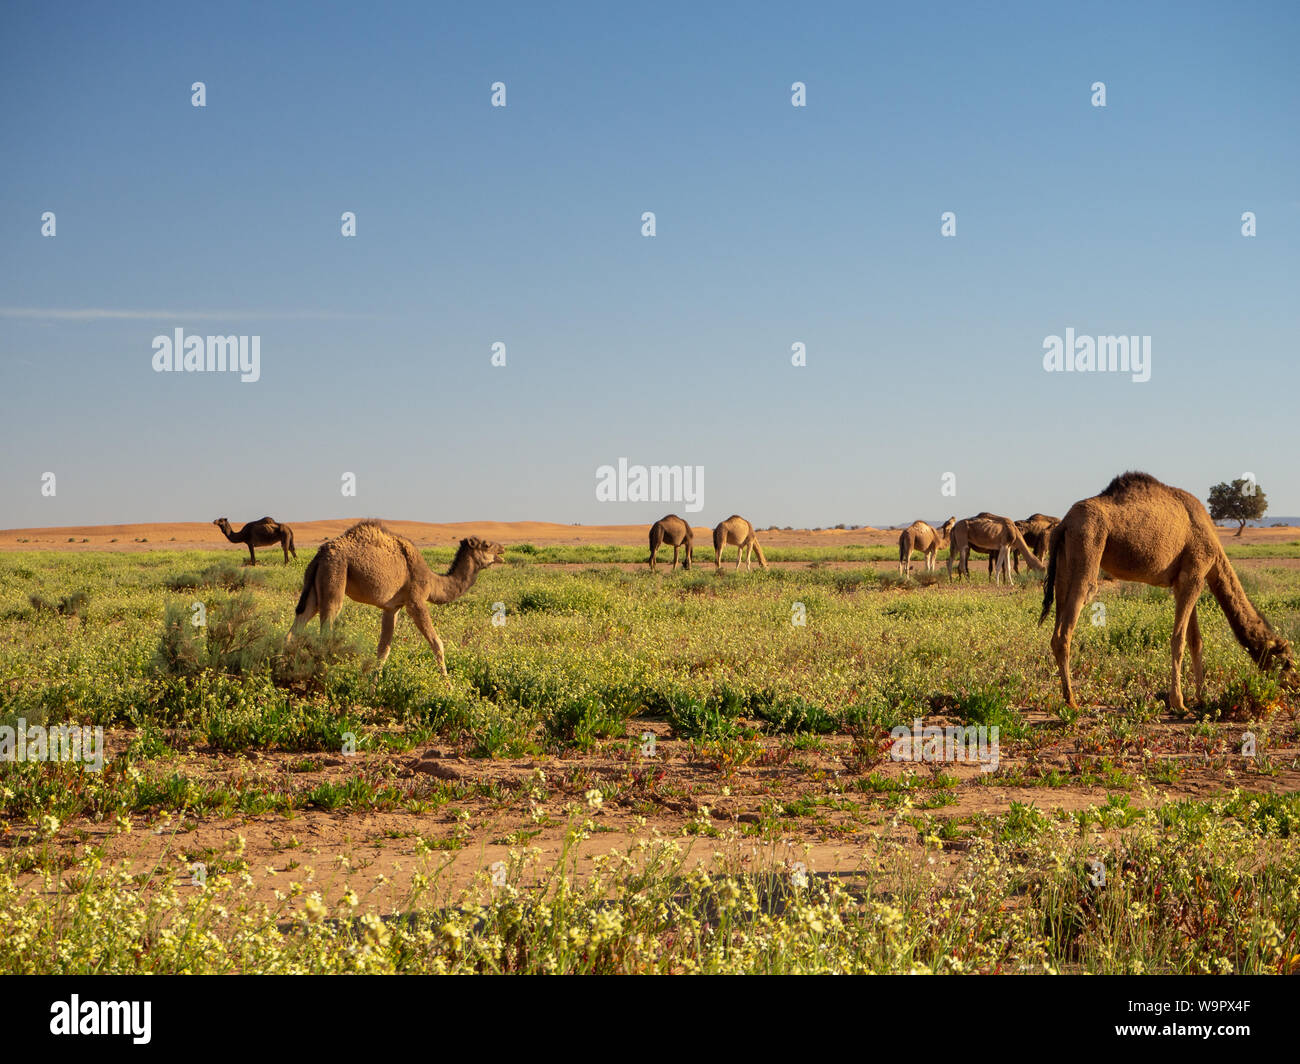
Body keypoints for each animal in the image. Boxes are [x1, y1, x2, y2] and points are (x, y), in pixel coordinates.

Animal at [288, 520, 504, 679]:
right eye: (486, 544)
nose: (502, 549)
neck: (432, 581)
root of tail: (319, 555)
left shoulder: (392, 607)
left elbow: (383, 649)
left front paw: (372, 687)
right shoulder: (416, 601)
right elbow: (437, 643)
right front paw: (448, 687)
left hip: (315, 586)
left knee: (297, 625)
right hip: (335, 574)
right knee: (326, 626)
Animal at [1040, 472, 1296, 713]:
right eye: (1287, 662)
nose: (1294, 687)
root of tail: (1064, 523)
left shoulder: (1185, 580)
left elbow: (1196, 640)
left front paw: (1200, 697)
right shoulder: (1194, 572)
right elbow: (1178, 639)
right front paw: (1179, 703)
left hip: (1063, 564)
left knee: (1058, 618)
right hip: (1089, 545)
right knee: (1066, 629)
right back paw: (1072, 702)